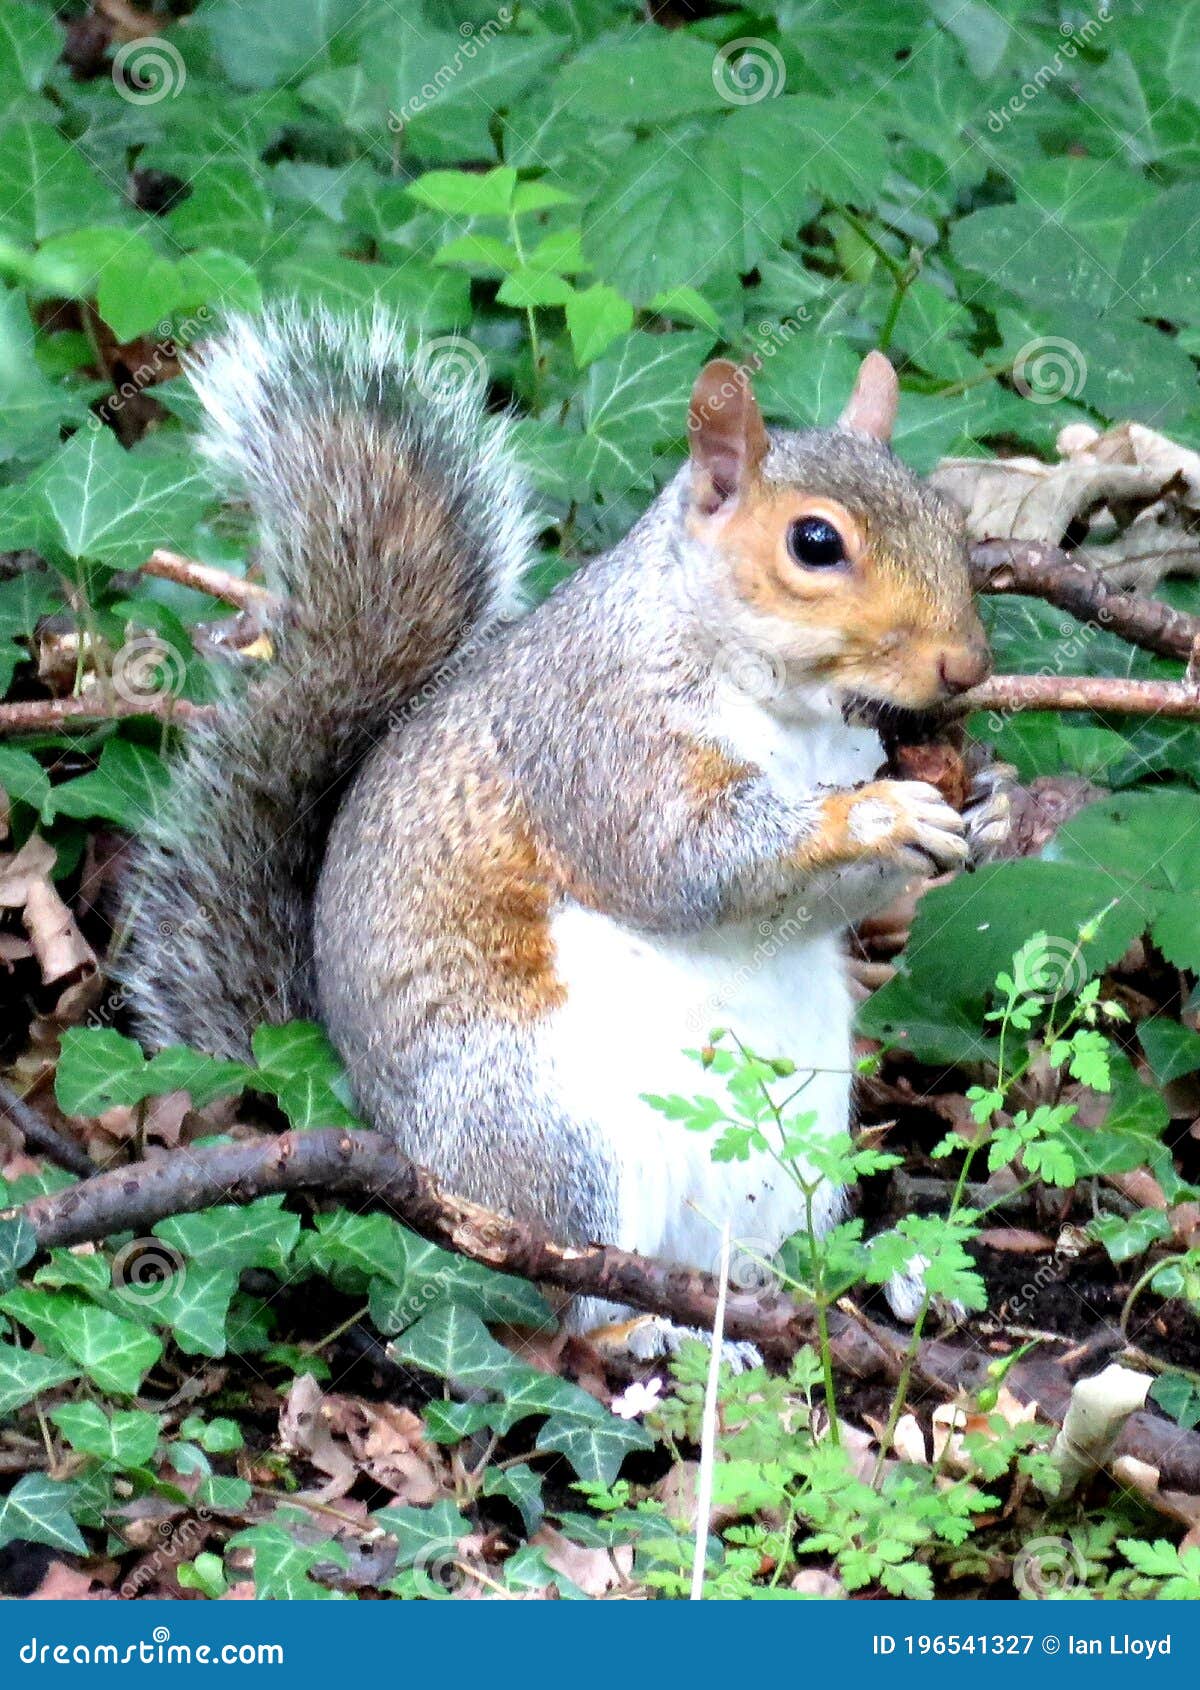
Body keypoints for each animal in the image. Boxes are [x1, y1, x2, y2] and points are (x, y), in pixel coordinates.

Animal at [121, 307, 1005, 1356]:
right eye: (815, 542)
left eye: (951, 519)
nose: (967, 665)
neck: (792, 712)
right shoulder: (597, 741)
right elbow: (681, 861)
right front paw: (874, 816)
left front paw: (991, 802)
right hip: (554, 1140)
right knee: (565, 1306)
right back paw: (663, 1337)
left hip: (802, 1141)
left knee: (777, 1261)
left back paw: (878, 1282)